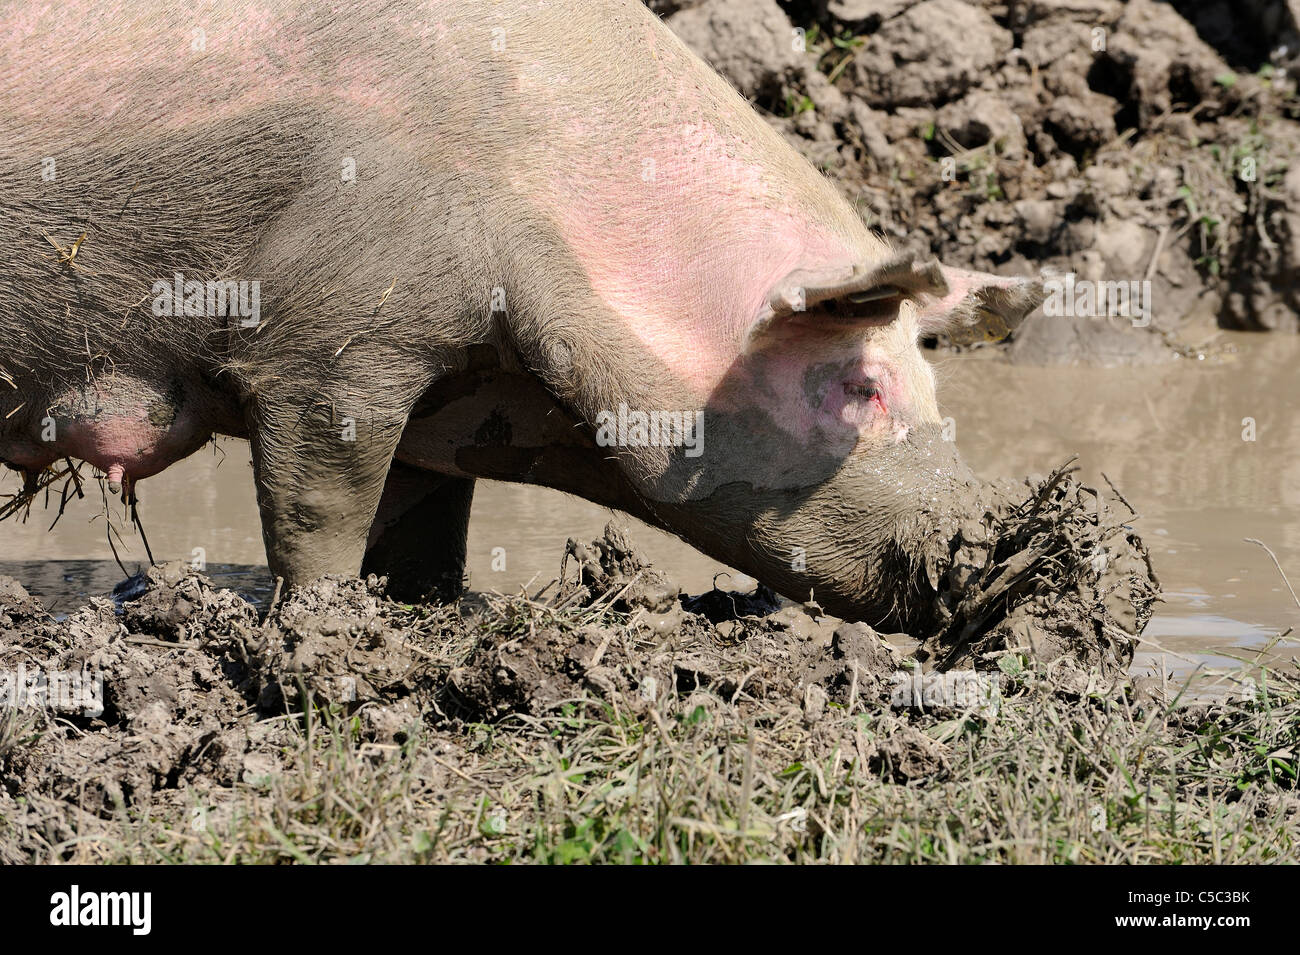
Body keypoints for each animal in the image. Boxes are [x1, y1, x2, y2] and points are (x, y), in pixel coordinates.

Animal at [0, 0, 1040, 629]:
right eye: (862, 387)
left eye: (934, 382)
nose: (991, 532)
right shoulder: (328, 342)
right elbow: (319, 507)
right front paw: (320, 630)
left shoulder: (438, 402)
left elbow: (422, 533)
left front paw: (426, 617)